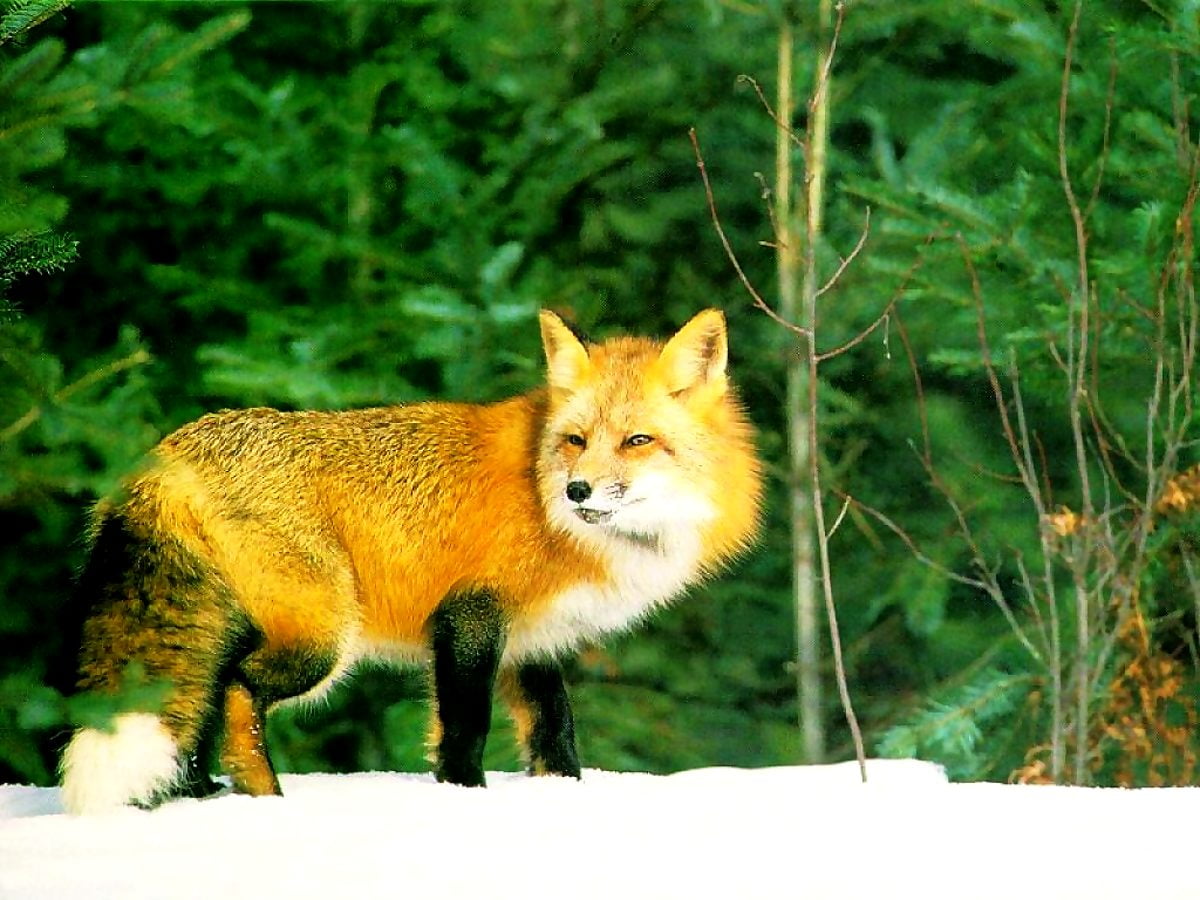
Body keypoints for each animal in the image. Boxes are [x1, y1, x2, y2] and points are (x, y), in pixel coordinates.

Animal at [58, 308, 762, 814]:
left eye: (638, 440)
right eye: (576, 440)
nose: (578, 491)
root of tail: (173, 447)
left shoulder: (534, 641)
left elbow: (555, 734)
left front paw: (561, 796)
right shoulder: (470, 617)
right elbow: (466, 726)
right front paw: (463, 796)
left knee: (202, 699)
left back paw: (197, 798)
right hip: (322, 637)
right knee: (237, 691)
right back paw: (266, 801)